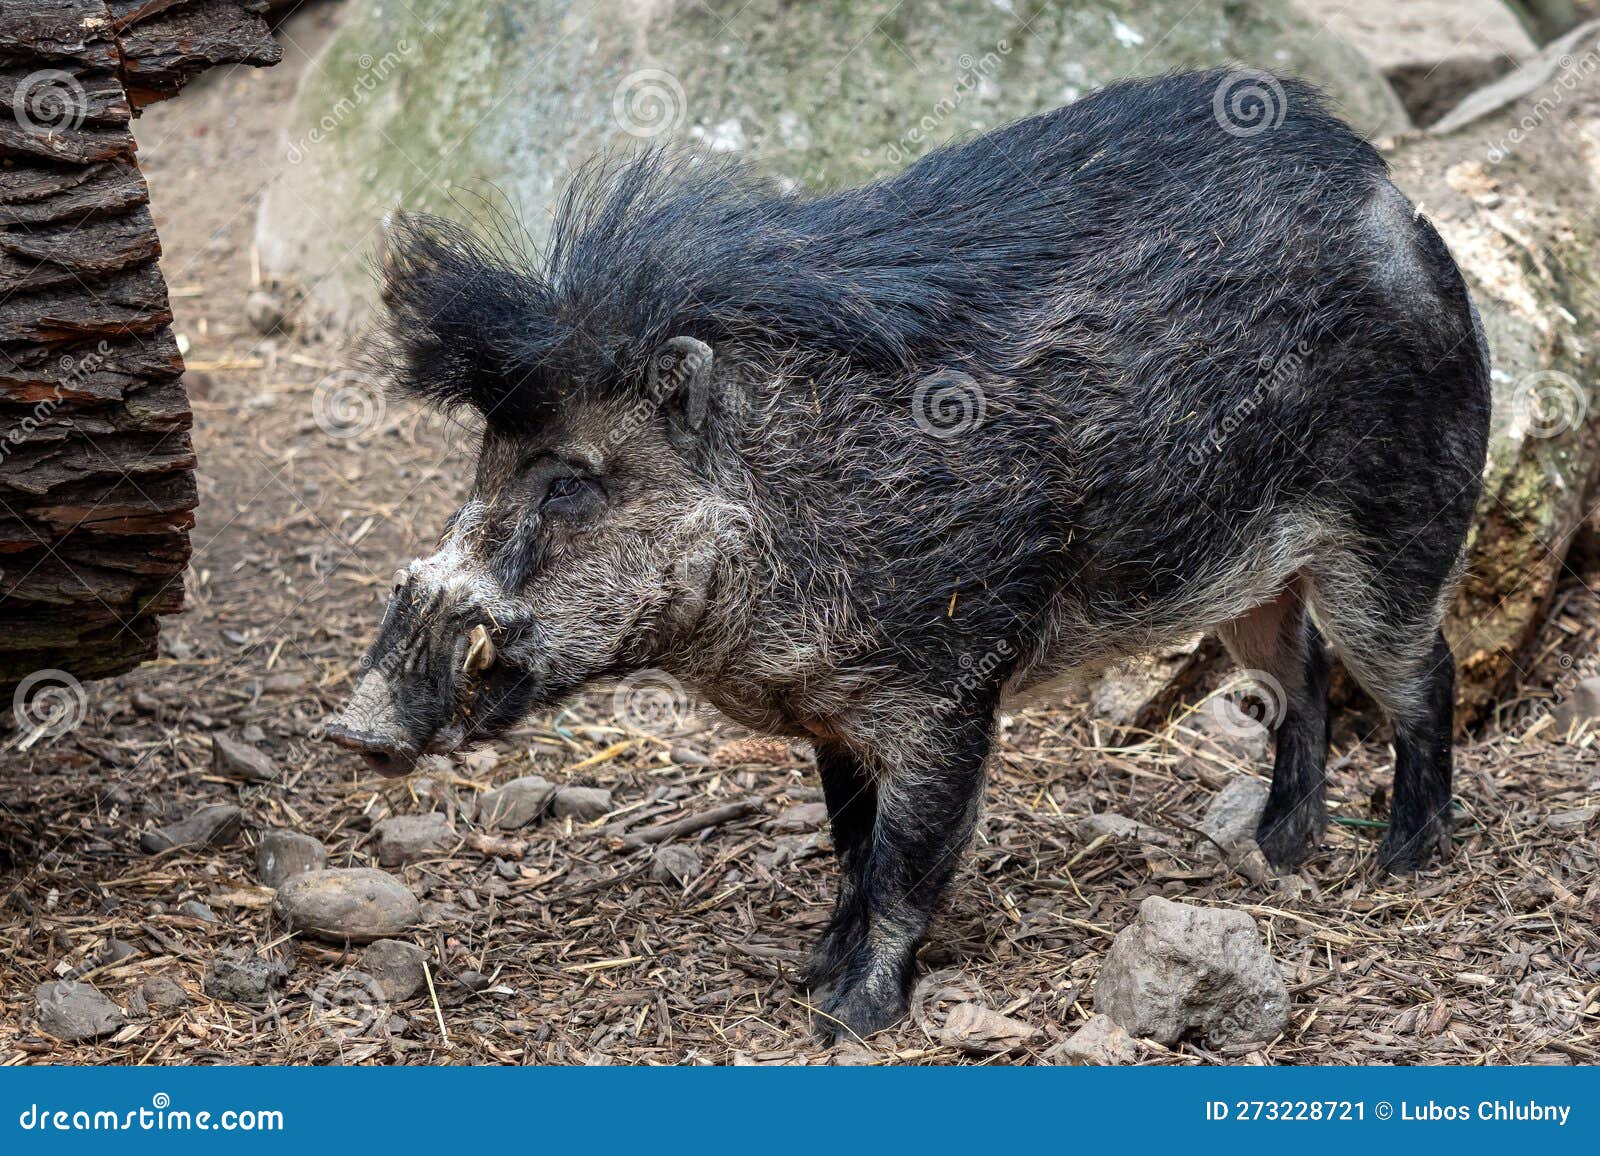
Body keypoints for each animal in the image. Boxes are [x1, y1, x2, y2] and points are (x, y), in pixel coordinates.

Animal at [326, 70, 1491, 1040]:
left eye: (570, 478)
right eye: (485, 460)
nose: (354, 728)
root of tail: (1392, 199)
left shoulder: (947, 696)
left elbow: (904, 864)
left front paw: (849, 1019)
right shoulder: (830, 713)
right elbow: (853, 846)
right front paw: (810, 969)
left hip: (1395, 536)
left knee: (1416, 676)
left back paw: (1401, 862)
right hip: (1252, 575)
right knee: (1299, 676)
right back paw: (1278, 852)